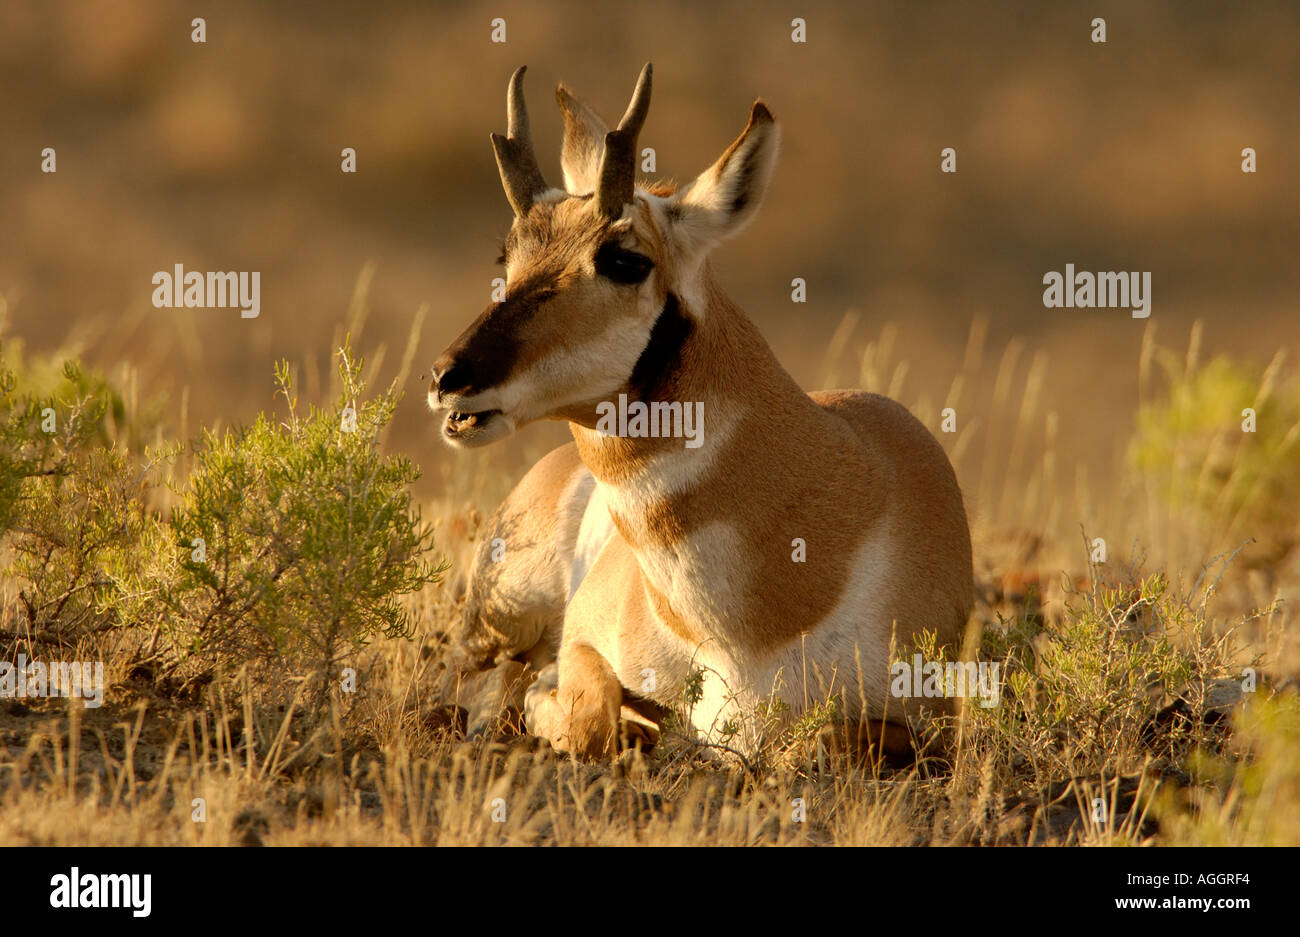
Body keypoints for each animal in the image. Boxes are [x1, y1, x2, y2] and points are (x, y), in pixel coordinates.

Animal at [431, 64, 974, 759]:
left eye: (624, 259)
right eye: (510, 253)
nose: (447, 379)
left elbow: (813, 742)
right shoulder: (583, 646)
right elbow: (592, 709)